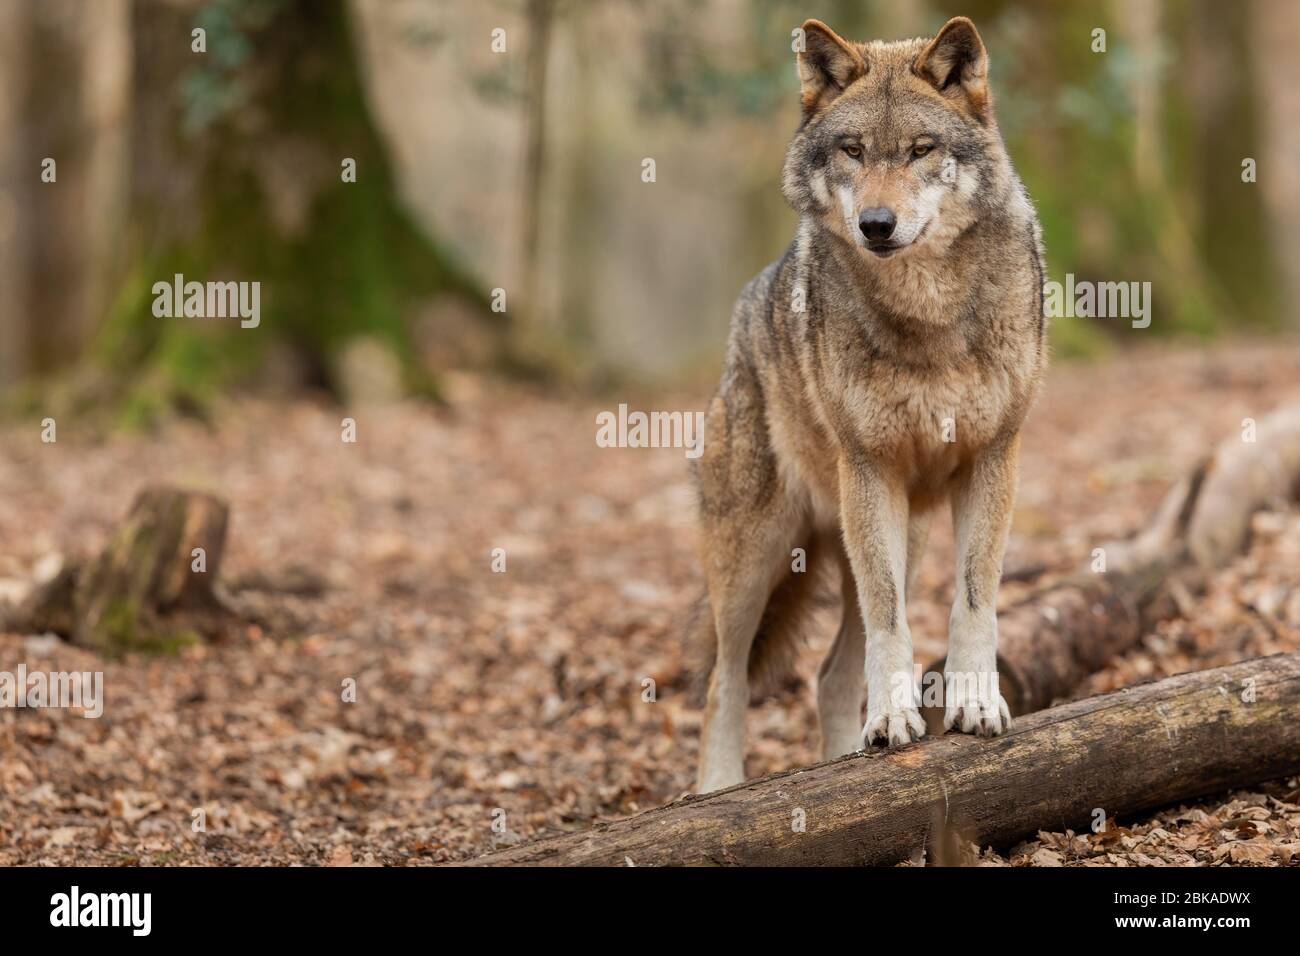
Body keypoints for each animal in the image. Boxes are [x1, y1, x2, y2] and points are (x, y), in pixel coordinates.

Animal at [691, 16, 1047, 793]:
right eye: (852, 150)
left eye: (920, 150)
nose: (877, 225)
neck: (928, 313)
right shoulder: (871, 469)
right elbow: (893, 626)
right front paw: (891, 722)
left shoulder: (994, 460)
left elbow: (974, 603)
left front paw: (975, 706)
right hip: (759, 554)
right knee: (724, 681)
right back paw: (720, 789)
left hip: (895, 534)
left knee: (828, 675)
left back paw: (844, 766)